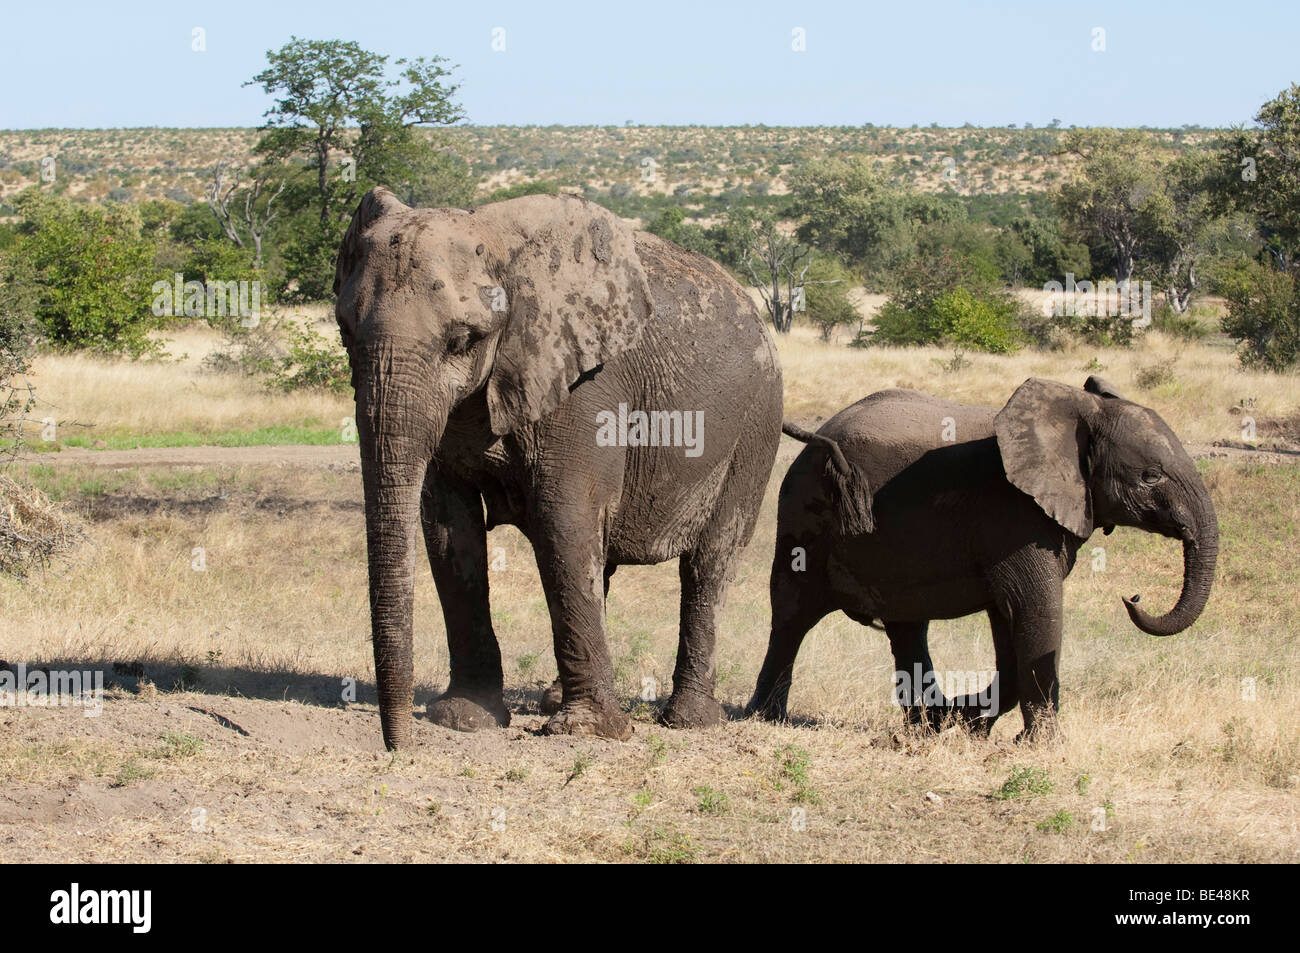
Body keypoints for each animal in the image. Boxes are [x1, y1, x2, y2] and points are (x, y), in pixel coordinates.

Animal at [334, 187, 783, 749]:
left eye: (463, 341)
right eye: (345, 333)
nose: (401, 747)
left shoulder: (586, 386)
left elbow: (562, 518)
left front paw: (588, 733)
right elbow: (447, 530)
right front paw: (464, 719)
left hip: (756, 427)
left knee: (711, 560)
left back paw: (689, 720)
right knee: (601, 559)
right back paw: (553, 698)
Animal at [746, 376, 1218, 741]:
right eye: (1150, 477)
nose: (1133, 598)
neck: (1076, 414)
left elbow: (1008, 621)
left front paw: (969, 722)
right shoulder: (1014, 516)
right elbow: (1036, 609)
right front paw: (1037, 745)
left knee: (906, 626)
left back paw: (925, 724)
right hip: (804, 510)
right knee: (792, 613)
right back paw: (764, 717)